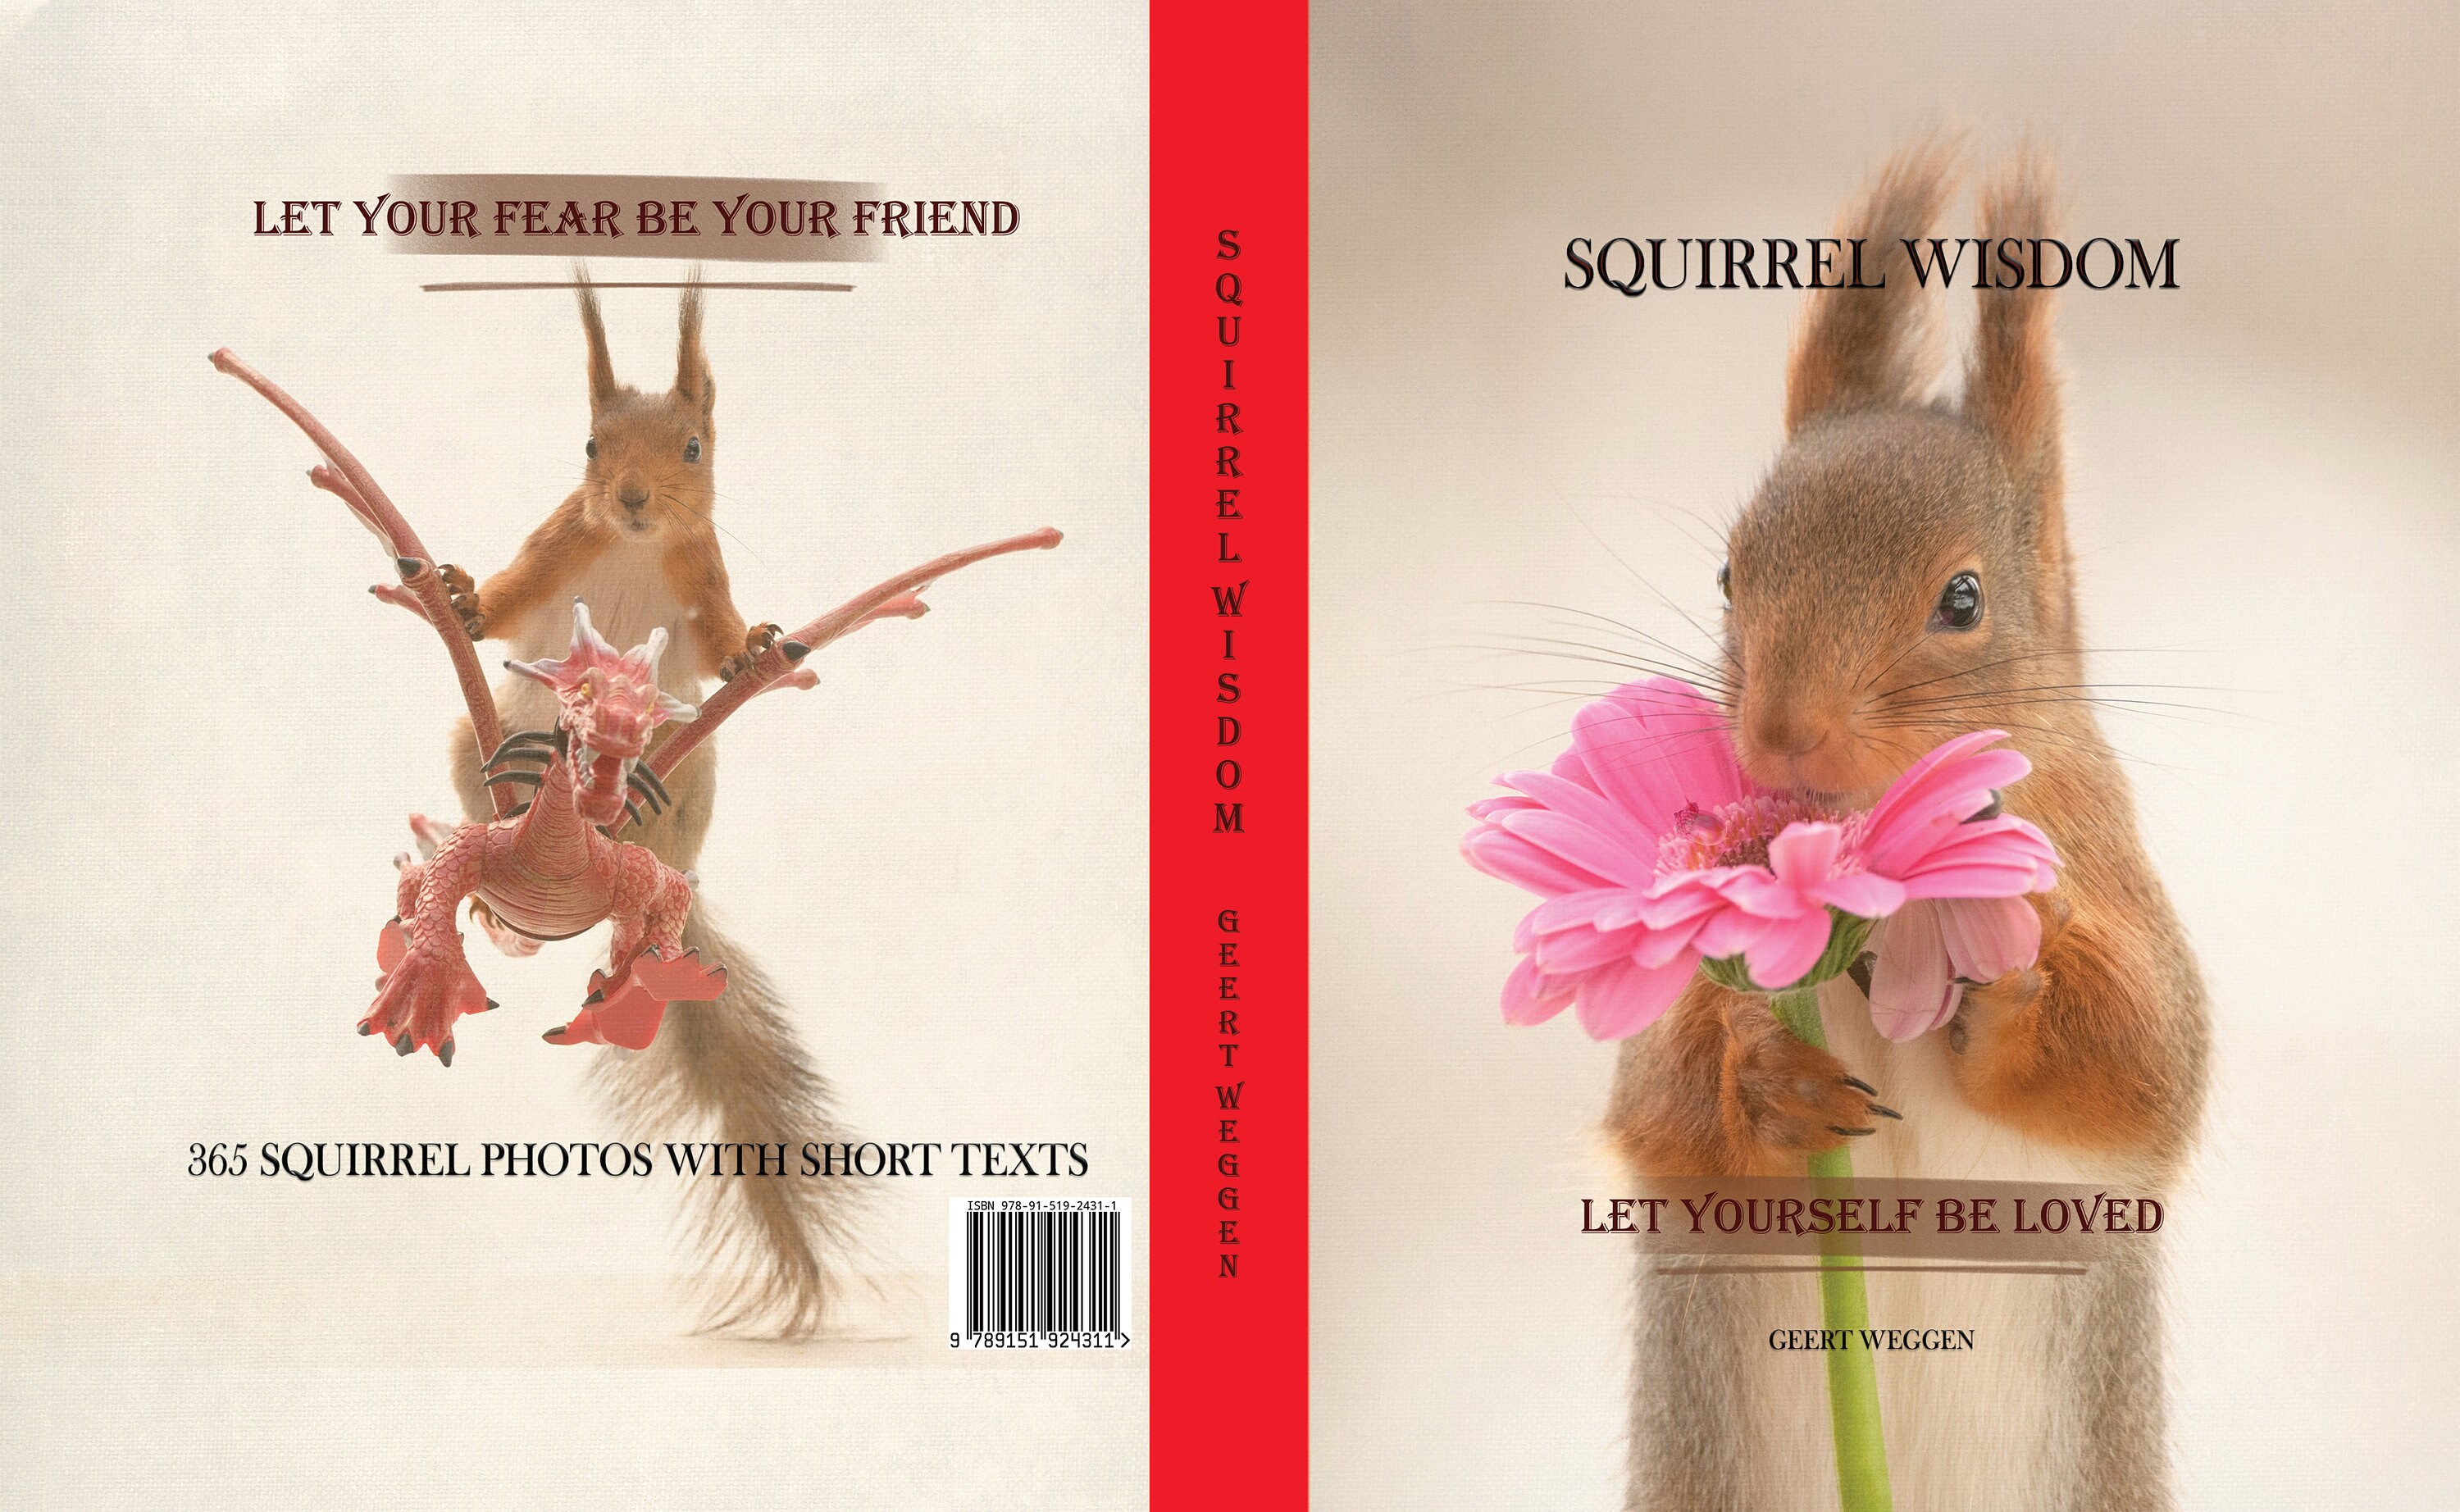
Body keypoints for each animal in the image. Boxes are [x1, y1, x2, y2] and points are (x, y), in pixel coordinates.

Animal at [432, 267, 858, 1337]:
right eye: (590, 445)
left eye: (695, 449)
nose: (628, 498)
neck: (630, 545)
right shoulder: (556, 544)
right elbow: (502, 603)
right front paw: (458, 595)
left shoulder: (701, 573)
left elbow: (721, 639)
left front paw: (756, 650)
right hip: (474, 747)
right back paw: (521, 786)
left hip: (698, 781)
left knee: (676, 819)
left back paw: (639, 811)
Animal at [1602, 143, 2210, 1510]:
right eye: (1730, 575)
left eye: (1964, 599)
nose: (1784, 735)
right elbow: (1662, 1110)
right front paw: (1764, 1075)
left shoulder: (2116, 875)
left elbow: (2152, 1059)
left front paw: (2024, 963)